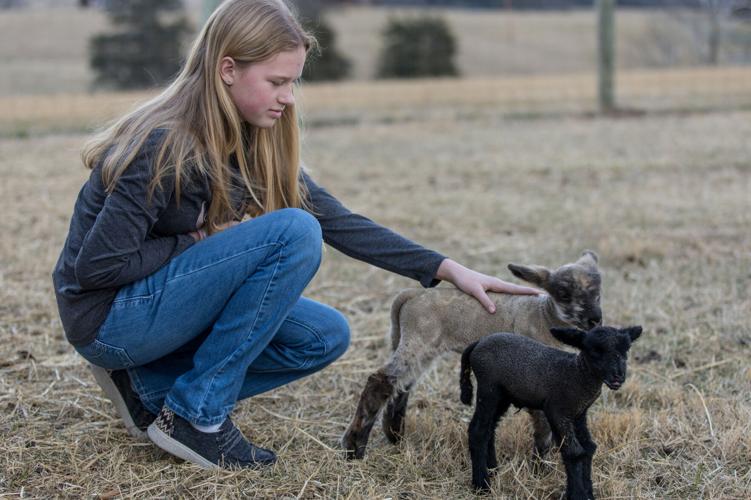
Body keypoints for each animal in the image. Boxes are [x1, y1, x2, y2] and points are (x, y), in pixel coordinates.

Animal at [342, 251, 603, 460]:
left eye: (598, 292)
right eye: (564, 293)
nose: (595, 320)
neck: (543, 316)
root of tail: (412, 294)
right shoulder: (535, 376)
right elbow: (543, 423)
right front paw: (541, 461)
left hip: (420, 347)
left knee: (400, 386)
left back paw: (394, 436)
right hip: (418, 341)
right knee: (381, 380)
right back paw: (354, 447)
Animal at [459, 325, 643, 498]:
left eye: (625, 350)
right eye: (595, 351)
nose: (618, 376)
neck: (577, 373)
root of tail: (478, 342)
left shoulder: (579, 414)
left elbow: (588, 448)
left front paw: (588, 492)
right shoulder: (556, 411)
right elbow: (574, 452)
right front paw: (578, 494)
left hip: (503, 396)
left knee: (489, 428)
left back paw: (493, 470)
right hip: (488, 389)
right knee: (478, 431)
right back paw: (482, 485)